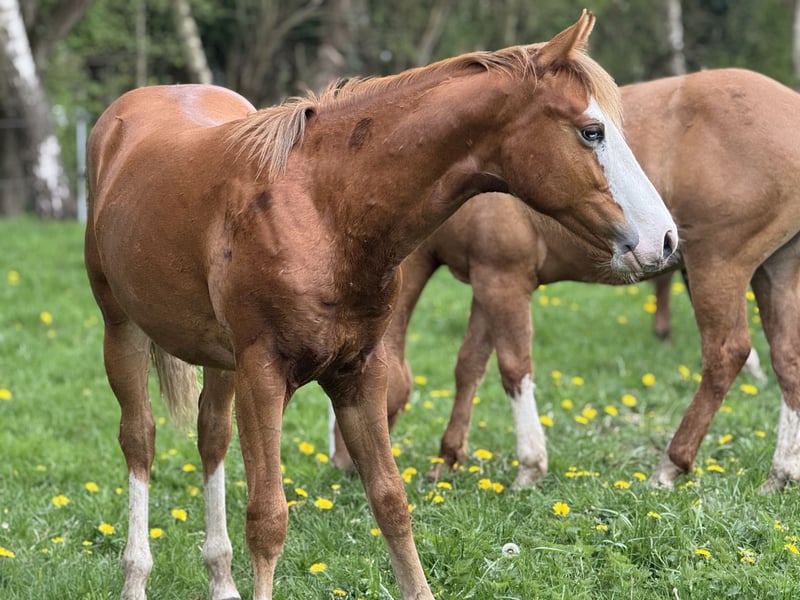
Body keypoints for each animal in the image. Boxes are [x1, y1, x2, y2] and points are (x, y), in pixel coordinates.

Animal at [84, 11, 677, 600]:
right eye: (592, 131)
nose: (665, 240)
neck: (322, 209)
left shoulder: (361, 372)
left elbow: (390, 500)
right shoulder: (264, 378)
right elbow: (268, 519)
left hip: (218, 360)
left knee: (212, 439)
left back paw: (220, 578)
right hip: (123, 333)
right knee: (139, 441)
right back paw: (135, 576)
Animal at [330, 67, 800, 492]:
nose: (341, 464)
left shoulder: (504, 281)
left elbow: (513, 368)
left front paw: (529, 466)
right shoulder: (488, 283)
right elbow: (469, 366)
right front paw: (448, 458)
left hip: (717, 267)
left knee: (726, 355)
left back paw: (672, 463)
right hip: (774, 271)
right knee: (787, 358)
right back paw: (780, 472)